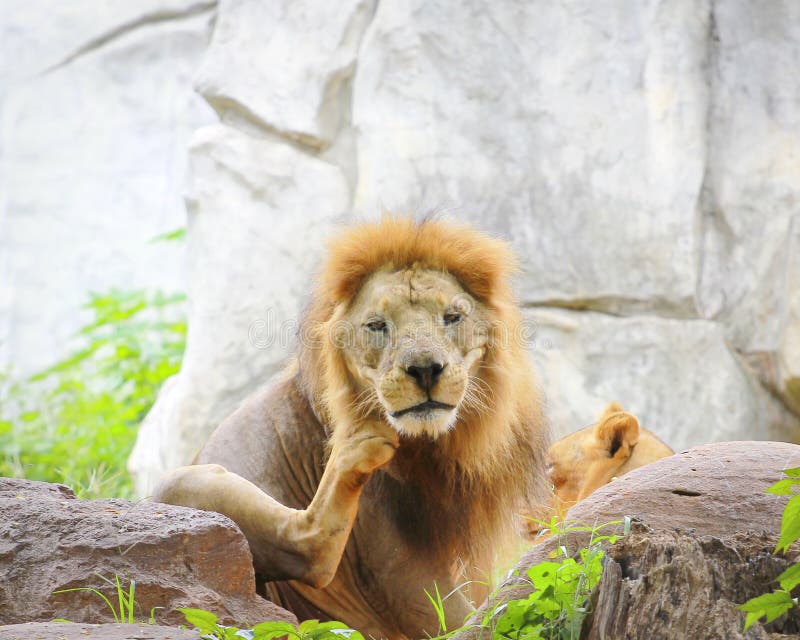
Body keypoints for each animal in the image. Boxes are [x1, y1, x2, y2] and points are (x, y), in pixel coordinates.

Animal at [153, 217, 549, 639]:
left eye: (452, 318)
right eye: (377, 325)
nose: (425, 369)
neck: (442, 444)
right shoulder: (395, 571)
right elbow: (463, 618)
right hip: (179, 485)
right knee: (308, 550)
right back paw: (358, 447)